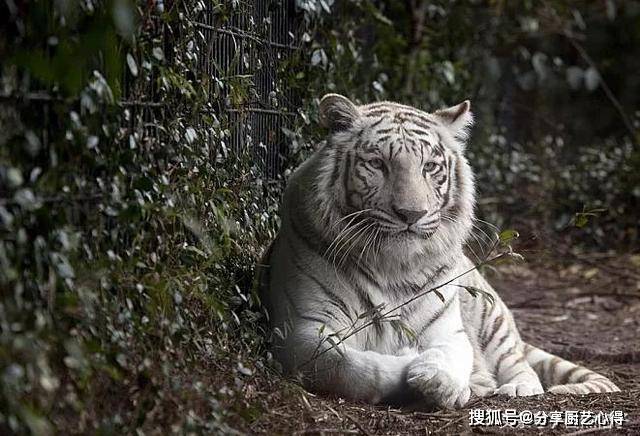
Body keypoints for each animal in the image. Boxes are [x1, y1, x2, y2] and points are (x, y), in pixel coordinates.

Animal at [257, 93, 620, 409]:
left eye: (430, 166)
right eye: (377, 164)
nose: (411, 214)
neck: (391, 266)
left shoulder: (449, 330)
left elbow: (450, 354)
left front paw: (440, 381)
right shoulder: (304, 331)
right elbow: (351, 366)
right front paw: (408, 361)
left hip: (491, 317)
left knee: (519, 363)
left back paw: (514, 388)